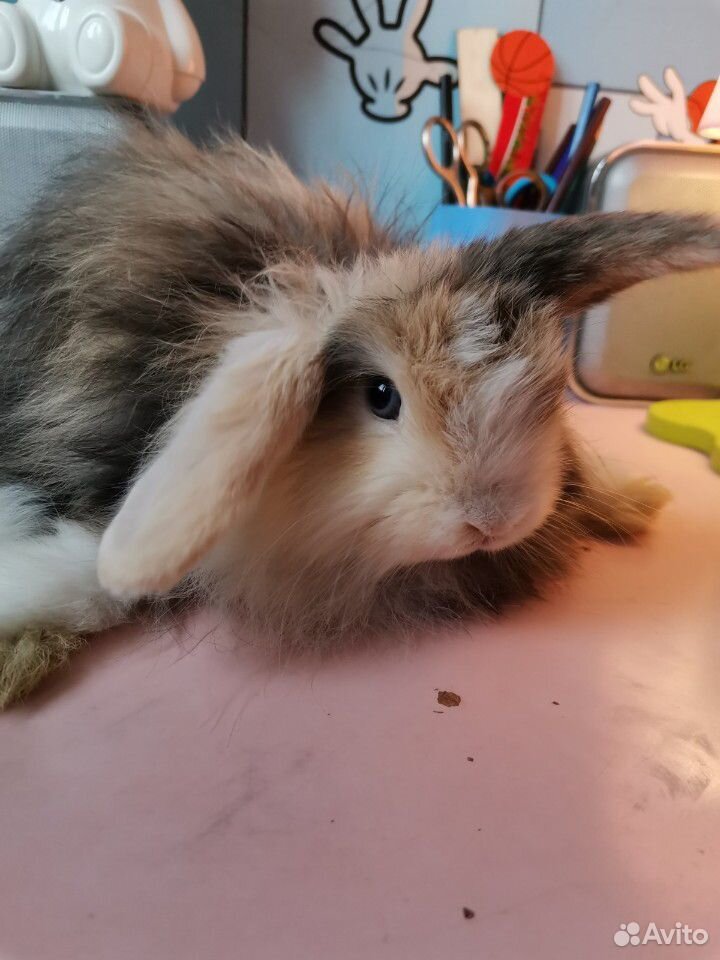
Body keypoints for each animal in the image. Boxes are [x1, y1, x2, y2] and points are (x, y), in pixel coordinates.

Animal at [2, 122, 720, 707]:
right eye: (380, 395)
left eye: (547, 391)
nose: (491, 521)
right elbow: (89, 578)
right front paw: (22, 615)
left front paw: (636, 500)